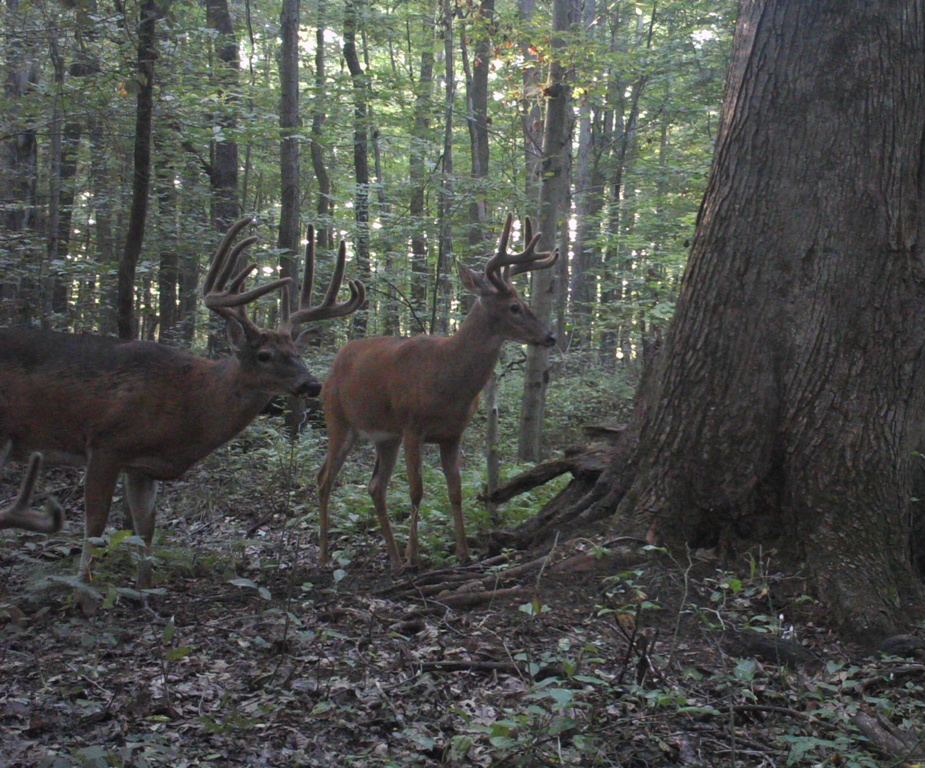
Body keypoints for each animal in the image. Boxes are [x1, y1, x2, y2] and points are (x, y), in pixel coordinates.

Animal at [0, 218, 364, 605]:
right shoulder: (104, 445)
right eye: (264, 355)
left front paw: (143, 593)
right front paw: (83, 598)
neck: (188, 400)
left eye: (297, 351)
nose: (312, 385)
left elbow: (146, 528)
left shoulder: (140, 466)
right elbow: (95, 526)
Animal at [317, 213, 558, 569]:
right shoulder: (412, 427)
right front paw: (414, 556)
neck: (448, 382)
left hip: (385, 437)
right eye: (514, 306)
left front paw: (463, 552)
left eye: (526, 302)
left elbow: (455, 490)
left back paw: (393, 559)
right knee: (325, 479)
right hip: (339, 420)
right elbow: (416, 491)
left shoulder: (452, 434)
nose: (550, 336)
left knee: (375, 487)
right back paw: (325, 556)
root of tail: (333, 365)